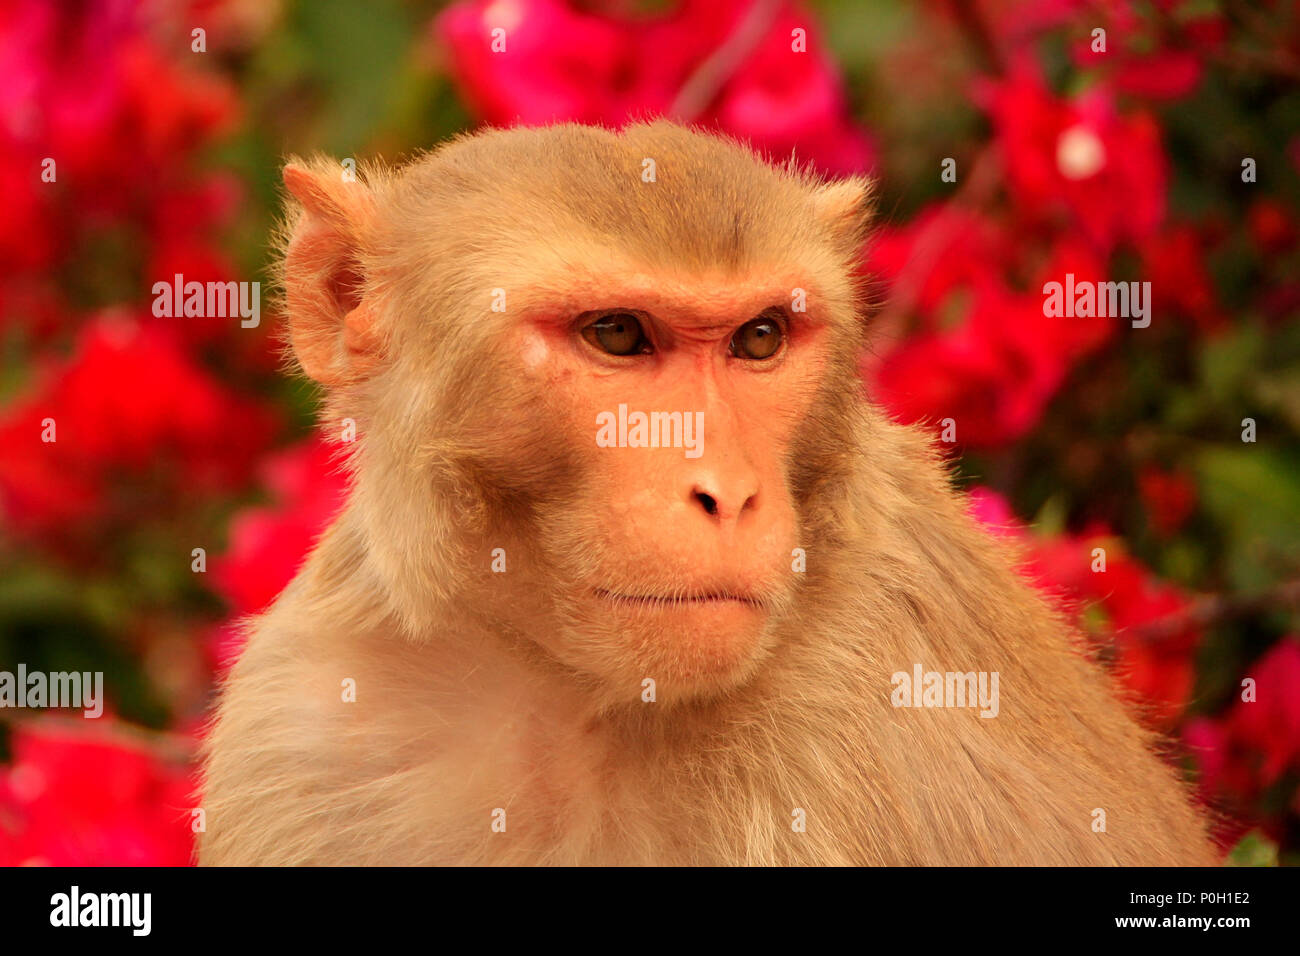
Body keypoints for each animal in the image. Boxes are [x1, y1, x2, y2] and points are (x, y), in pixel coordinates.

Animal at [198, 121, 1215, 866]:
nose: (728, 493)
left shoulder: (854, 726)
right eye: (616, 334)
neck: (574, 699)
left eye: (759, 338)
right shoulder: (297, 722)